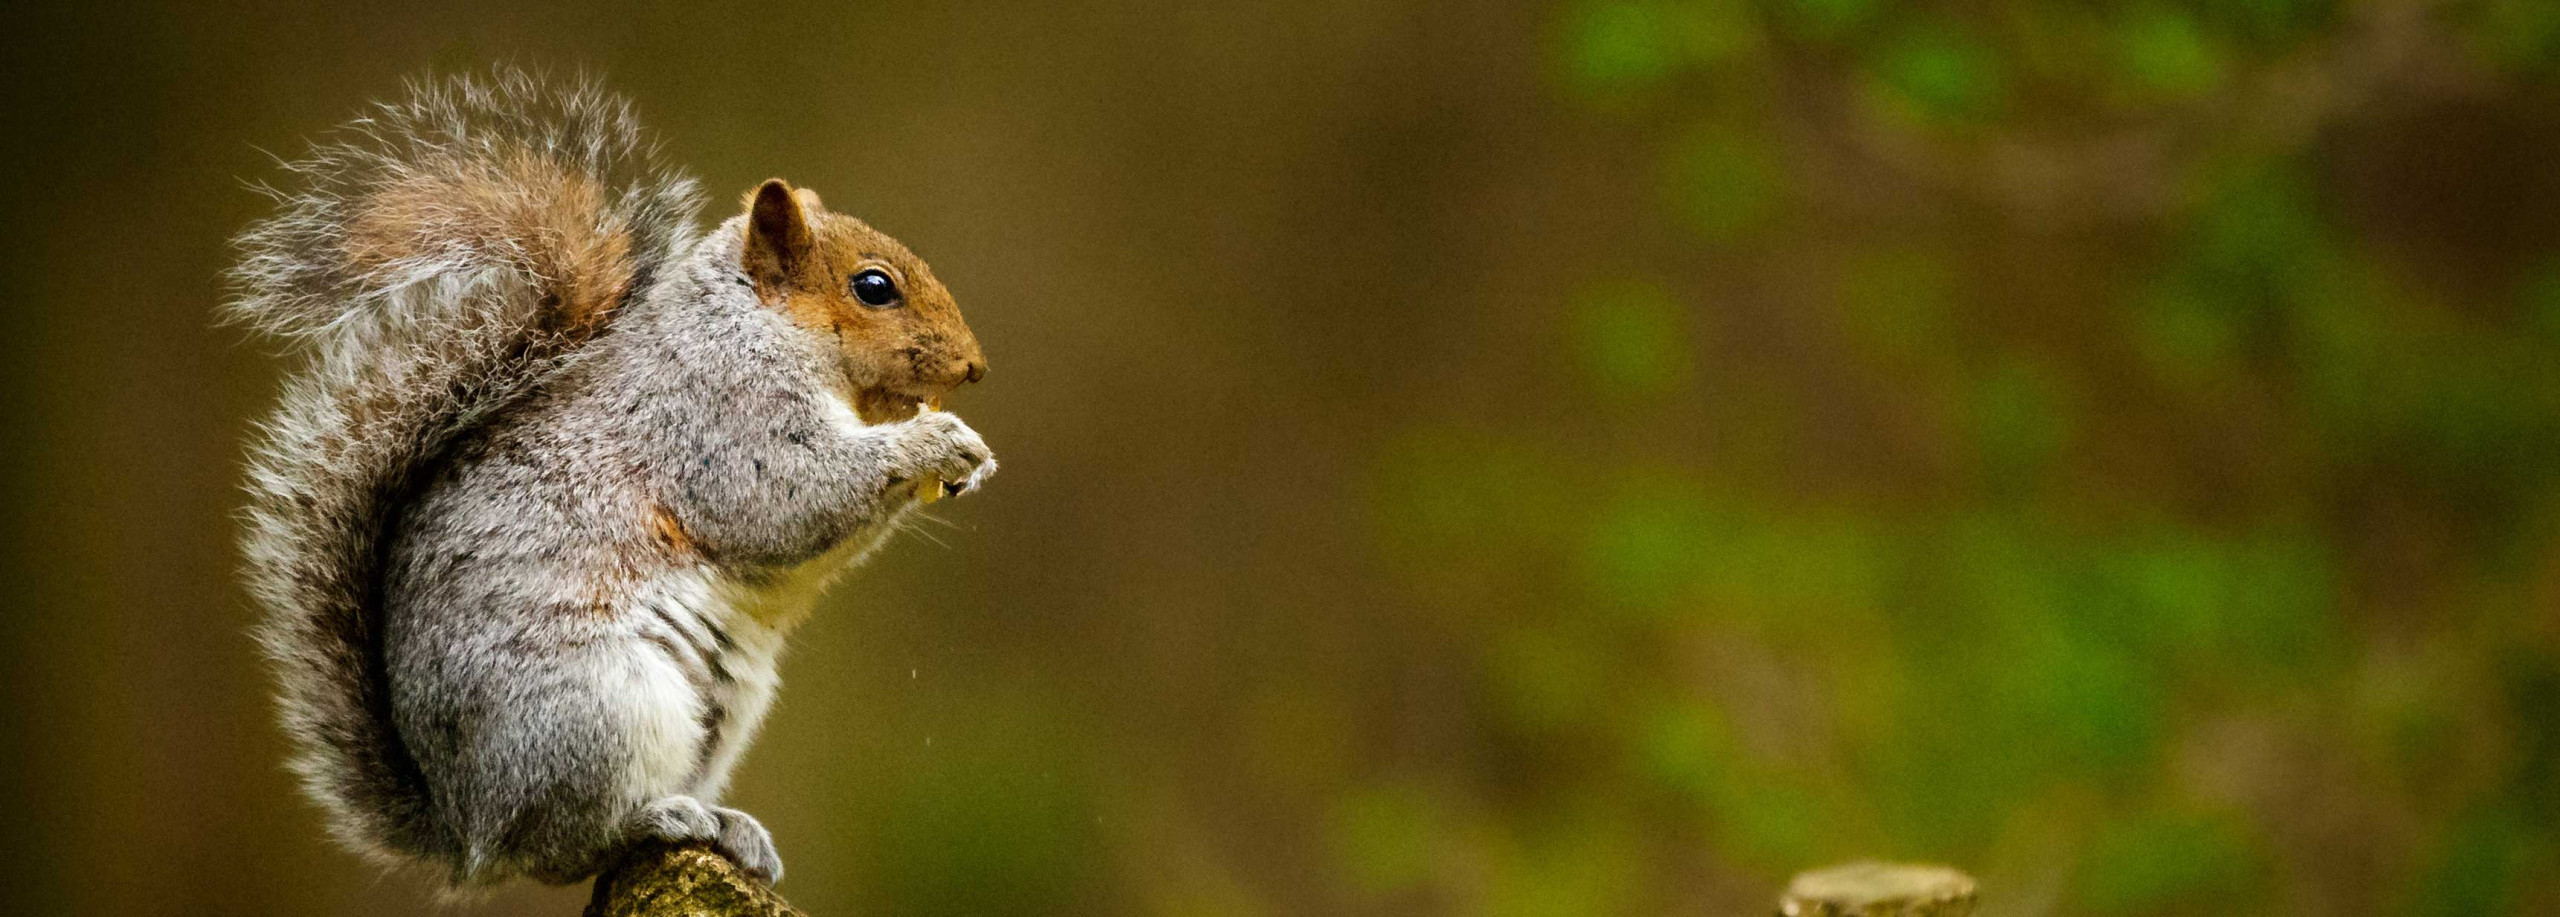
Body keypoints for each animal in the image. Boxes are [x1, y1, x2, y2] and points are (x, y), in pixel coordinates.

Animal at [227, 70, 995, 889]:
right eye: (874, 286)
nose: (974, 366)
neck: (756, 324)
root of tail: (466, 825)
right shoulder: (717, 420)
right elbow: (790, 498)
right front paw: (935, 440)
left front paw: (969, 457)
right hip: (601, 709)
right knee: (562, 847)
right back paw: (656, 819)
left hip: (720, 711)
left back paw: (730, 827)